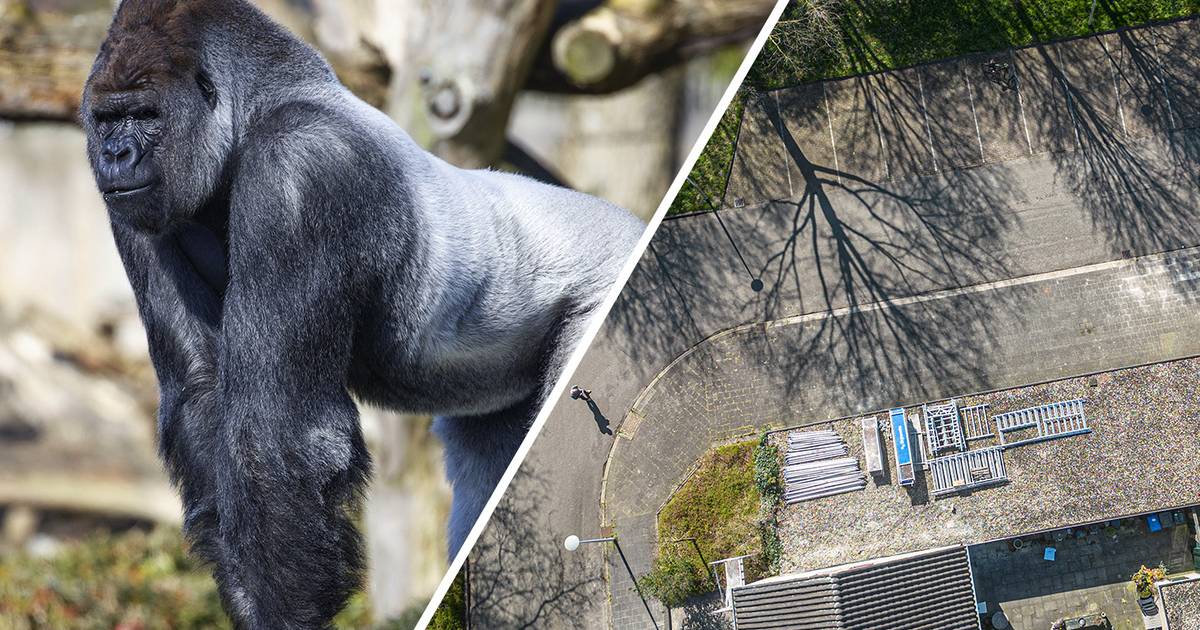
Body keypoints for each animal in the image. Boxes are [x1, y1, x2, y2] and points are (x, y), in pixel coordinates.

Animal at [80, 1, 643, 627]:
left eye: (144, 115)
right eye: (107, 120)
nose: (114, 155)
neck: (259, 108)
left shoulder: (303, 168)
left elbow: (282, 433)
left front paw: (282, 611)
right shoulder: (136, 210)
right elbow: (202, 391)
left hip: (604, 278)